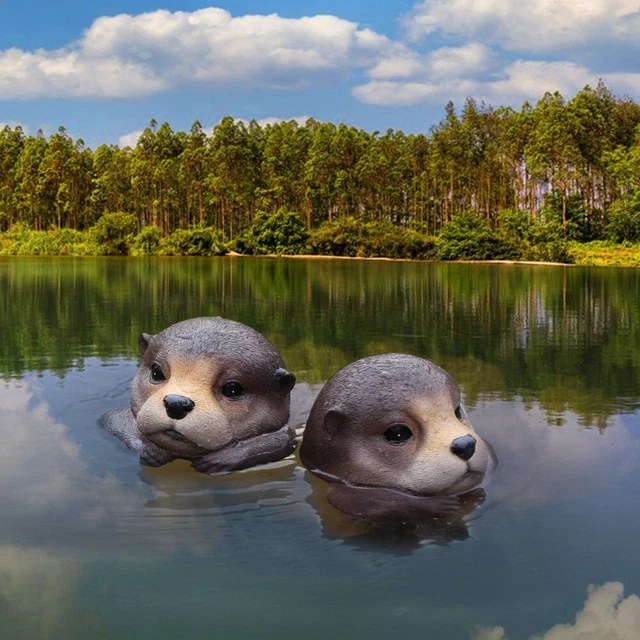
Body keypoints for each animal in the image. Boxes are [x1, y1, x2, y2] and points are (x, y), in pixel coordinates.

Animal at [100, 317, 297, 474]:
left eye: (232, 389)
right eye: (156, 372)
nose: (176, 403)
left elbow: (283, 440)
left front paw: (222, 458)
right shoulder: (113, 418)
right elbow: (111, 420)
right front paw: (150, 449)